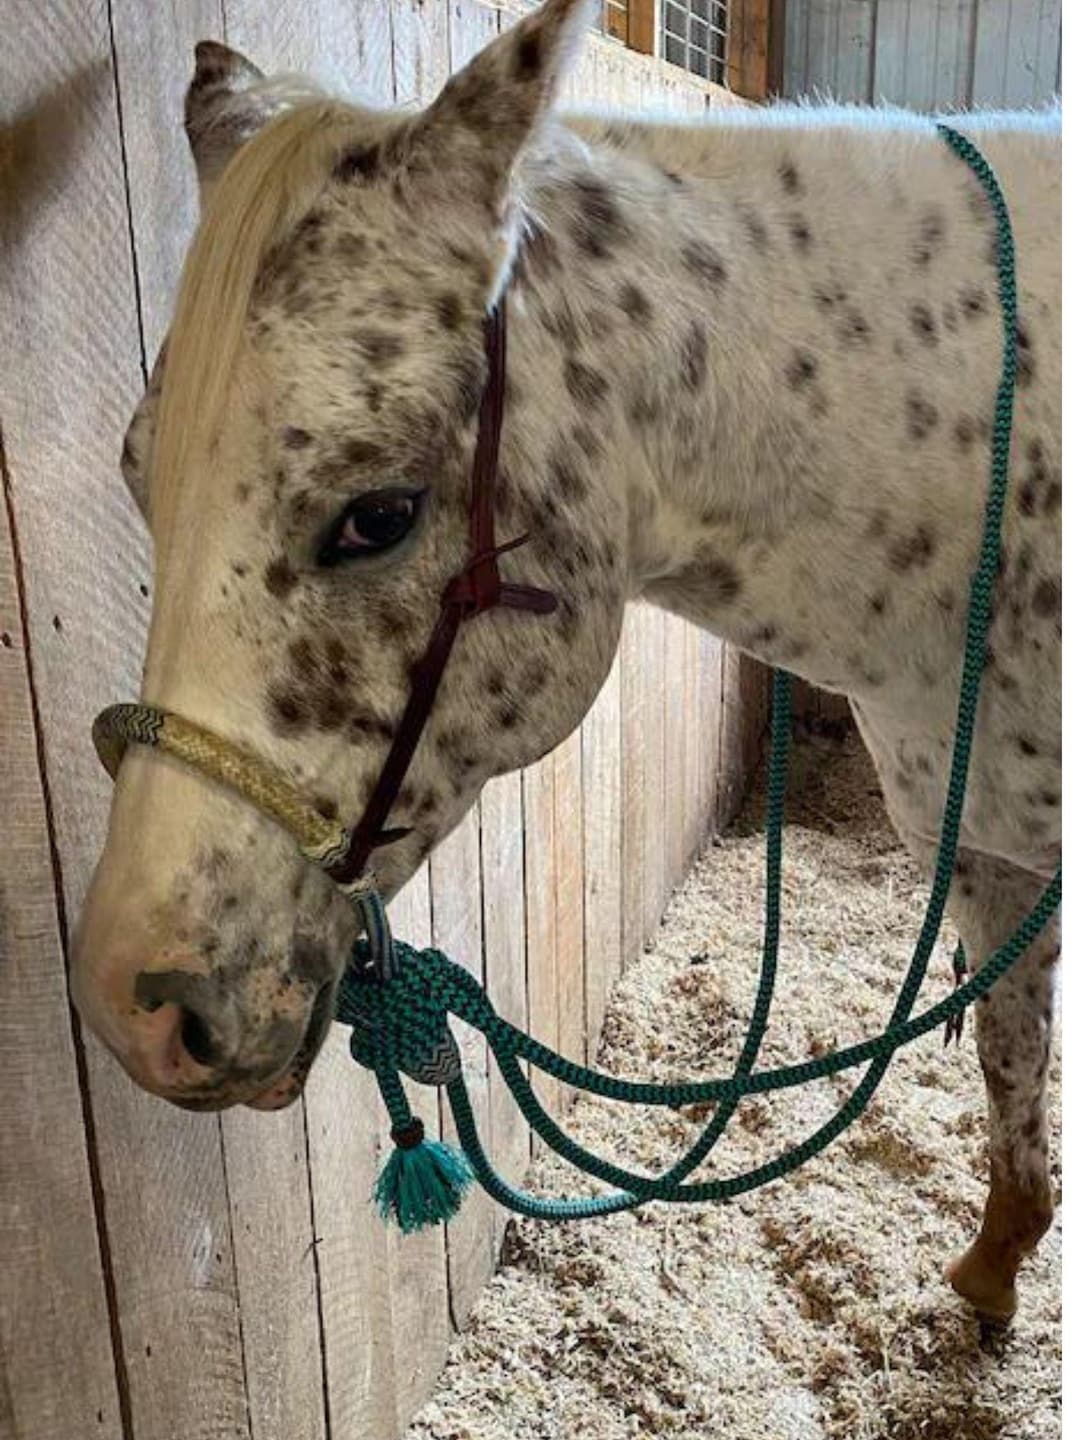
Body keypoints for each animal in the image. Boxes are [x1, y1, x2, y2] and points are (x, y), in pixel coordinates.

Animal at [73, 0, 1060, 1327]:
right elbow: (1010, 1056)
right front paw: (1000, 1262)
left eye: (377, 516)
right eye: (142, 475)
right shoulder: (995, 854)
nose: (135, 1002)